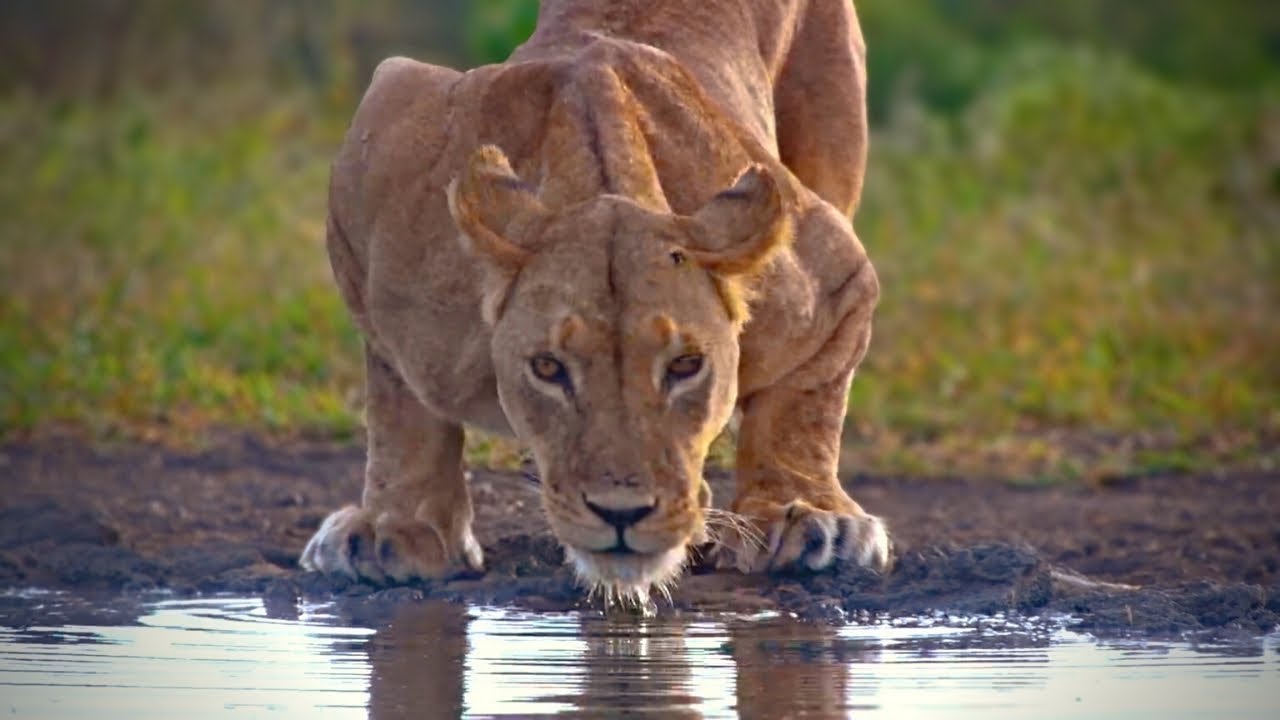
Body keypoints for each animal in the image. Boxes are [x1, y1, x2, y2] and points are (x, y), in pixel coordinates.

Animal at [300, 0, 890, 602]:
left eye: (686, 365)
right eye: (547, 368)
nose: (621, 513)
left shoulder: (835, 283)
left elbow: (804, 406)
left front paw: (805, 516)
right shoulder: (385, 151)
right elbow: (398, 402)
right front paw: (396, 528)